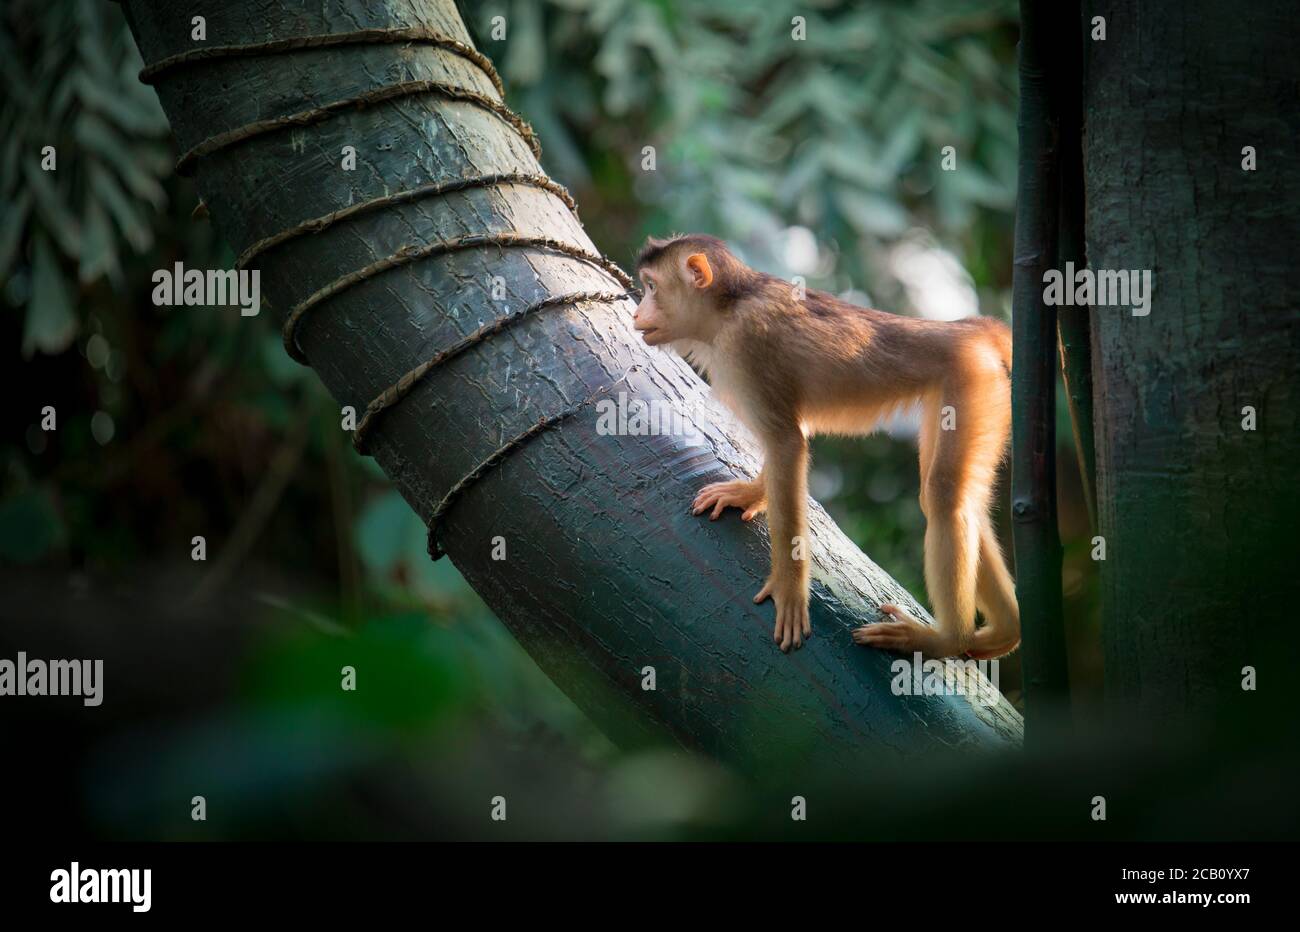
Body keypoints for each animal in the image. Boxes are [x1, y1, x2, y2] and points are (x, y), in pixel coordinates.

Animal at [632, 234, 1019, 659]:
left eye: (652, 287)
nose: (636, 313)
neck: (729, 306)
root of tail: (967, 330)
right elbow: (791, 438)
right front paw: (752, 492)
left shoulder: (745, 348)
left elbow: (787, 444)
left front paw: (789, 589)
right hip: (972, 388)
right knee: (960, 499)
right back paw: (1006, 630)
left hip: (970, 380)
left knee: (944, 496)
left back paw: (947, 640)